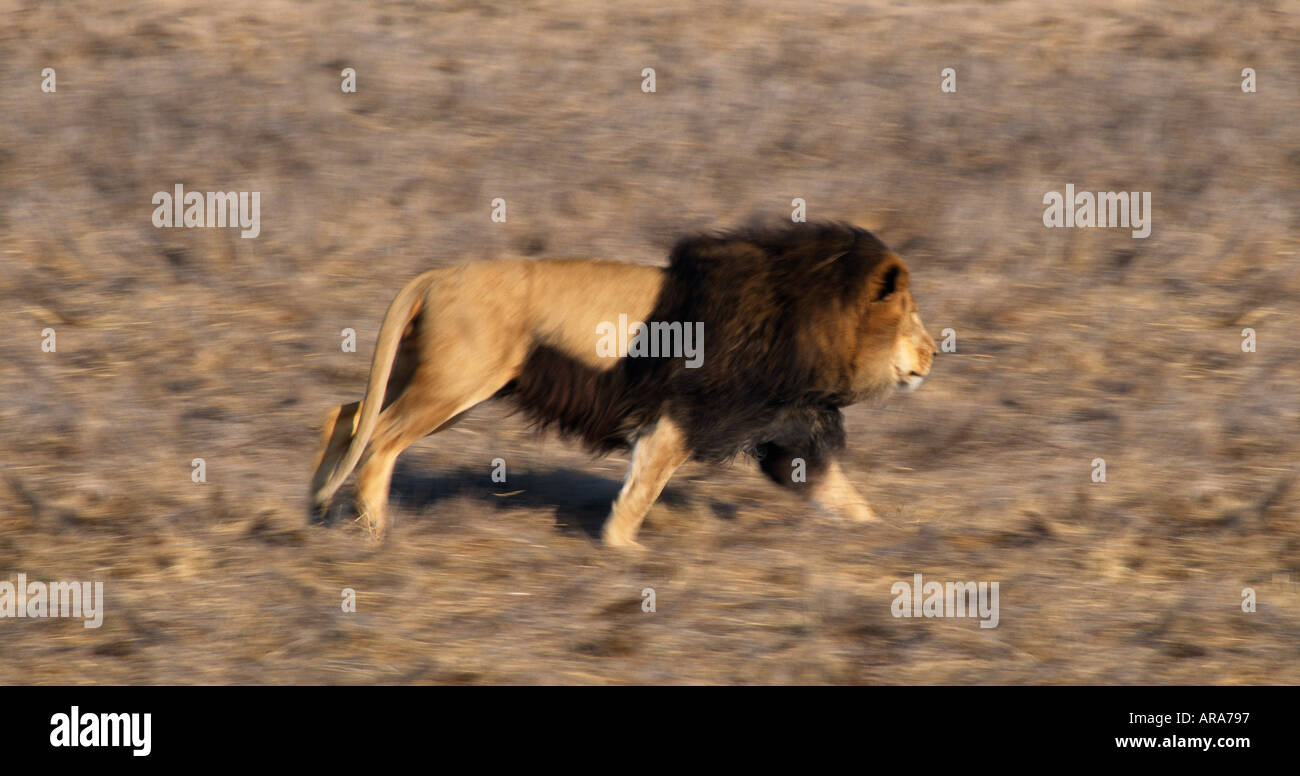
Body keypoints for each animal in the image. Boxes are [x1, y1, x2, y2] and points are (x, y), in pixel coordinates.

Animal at [310, 222, 935, 547]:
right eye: (910, 318)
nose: (934, 353)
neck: (807, 319)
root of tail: (439, 274)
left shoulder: (787, 431)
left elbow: (841, 494)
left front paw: (887, 538)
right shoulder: (682, 419)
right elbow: (643, 488)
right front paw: (623, 548)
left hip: (429, 379)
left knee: (346, 414)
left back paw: (316, 506)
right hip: (454, 385)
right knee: (379, 440)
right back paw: (372, 528)